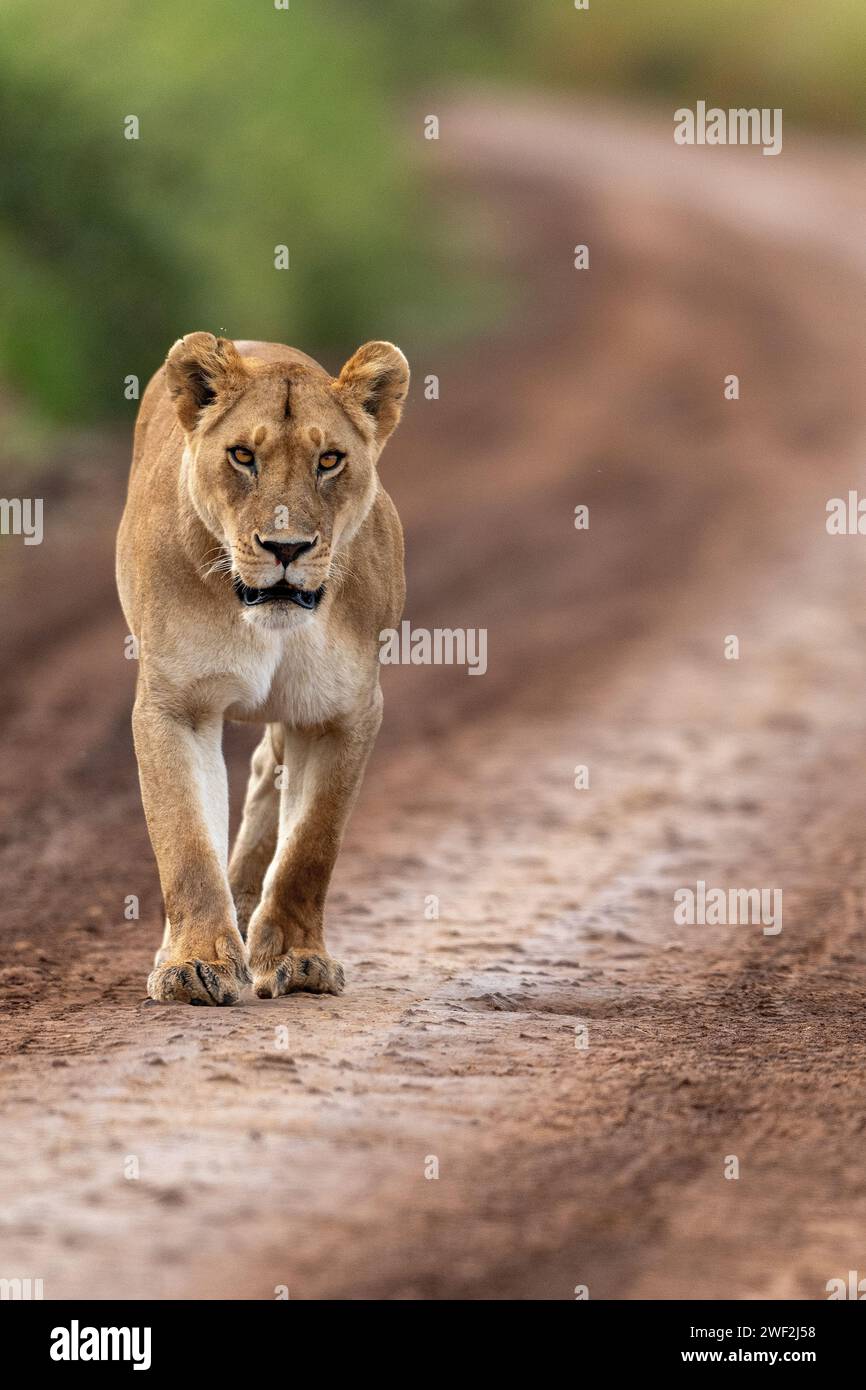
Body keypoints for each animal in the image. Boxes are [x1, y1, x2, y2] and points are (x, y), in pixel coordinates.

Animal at [116, 333, 409, 1004]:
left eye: (329, 460)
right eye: (243, 456)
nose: (286, 548)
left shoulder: (343, 712)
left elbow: (311, 845)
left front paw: (297, 958)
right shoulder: (176, 704)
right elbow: (186, 840)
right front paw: (194, 965)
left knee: (267, 776)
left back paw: (249, 909)